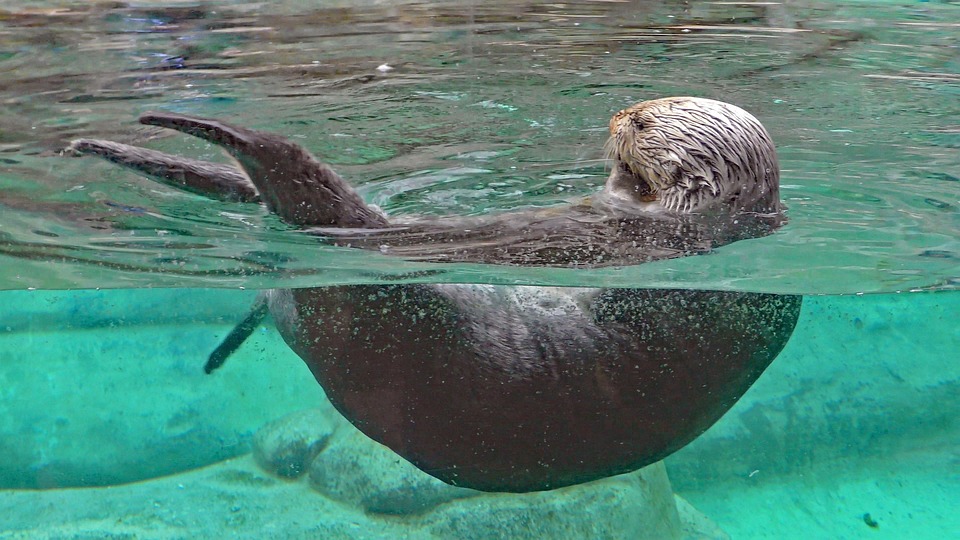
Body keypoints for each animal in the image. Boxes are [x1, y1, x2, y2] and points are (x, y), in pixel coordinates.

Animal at [68, 97, 801, 492]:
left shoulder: (610, 233)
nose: (617, 113)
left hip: (366, 312)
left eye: (644, 123)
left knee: (303, 190)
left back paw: (169, 128)